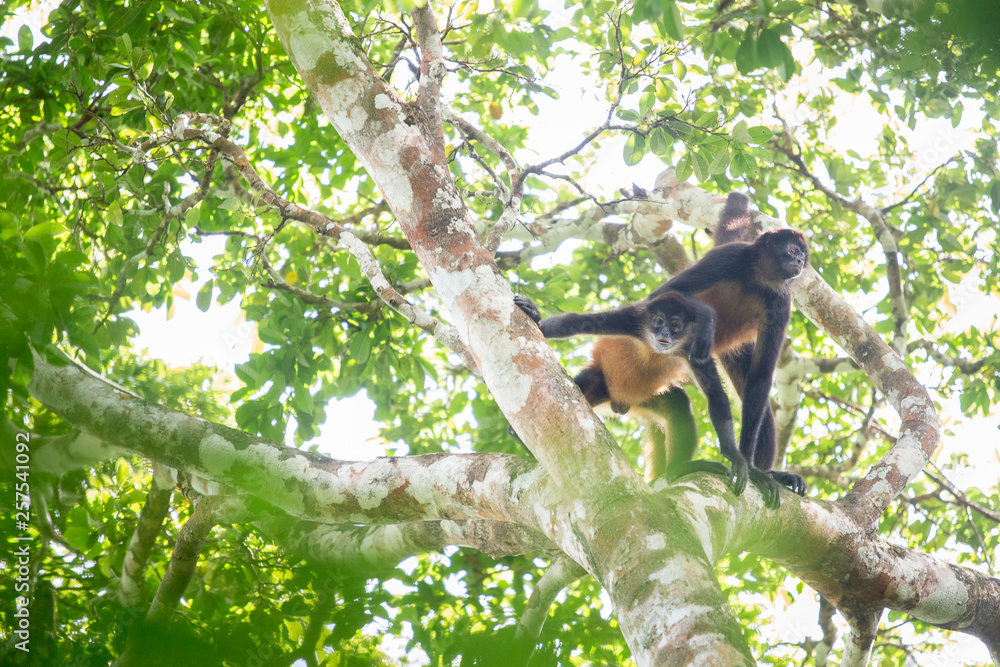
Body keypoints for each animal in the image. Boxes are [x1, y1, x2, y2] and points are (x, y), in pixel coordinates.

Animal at [515, 290, 750, 498]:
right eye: (658, 321)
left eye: (675, 325)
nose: (664, 333)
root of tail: (616, 401)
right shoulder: (630, 320)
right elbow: (577, 323)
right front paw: (535, 315)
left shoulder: (692, 344)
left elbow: (715, 393)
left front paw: (734, 456)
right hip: (600, 383)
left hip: (644, 399)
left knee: (678, 404)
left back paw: (678, 469)